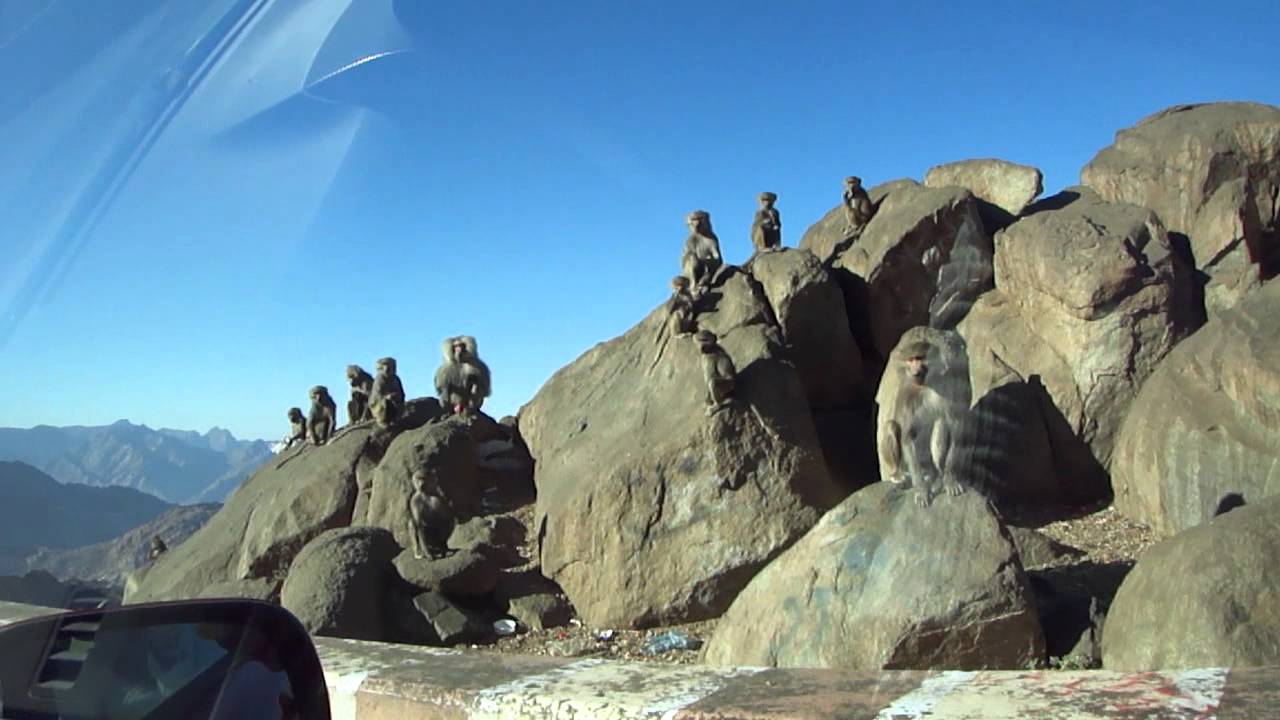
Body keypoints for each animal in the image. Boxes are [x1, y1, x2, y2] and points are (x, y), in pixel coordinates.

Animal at [877, 340, 961, 507]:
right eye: (910, 360)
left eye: (919, 358)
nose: (915, 371)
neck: (927, 385)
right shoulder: (907, 394)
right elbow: (907, 436)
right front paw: (921, 490)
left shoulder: (947, 388)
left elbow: (953, 426)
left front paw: (950, 480)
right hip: (905, 464)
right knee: (891, 426)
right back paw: (898, 476)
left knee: (940, 421)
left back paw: (937, 476)